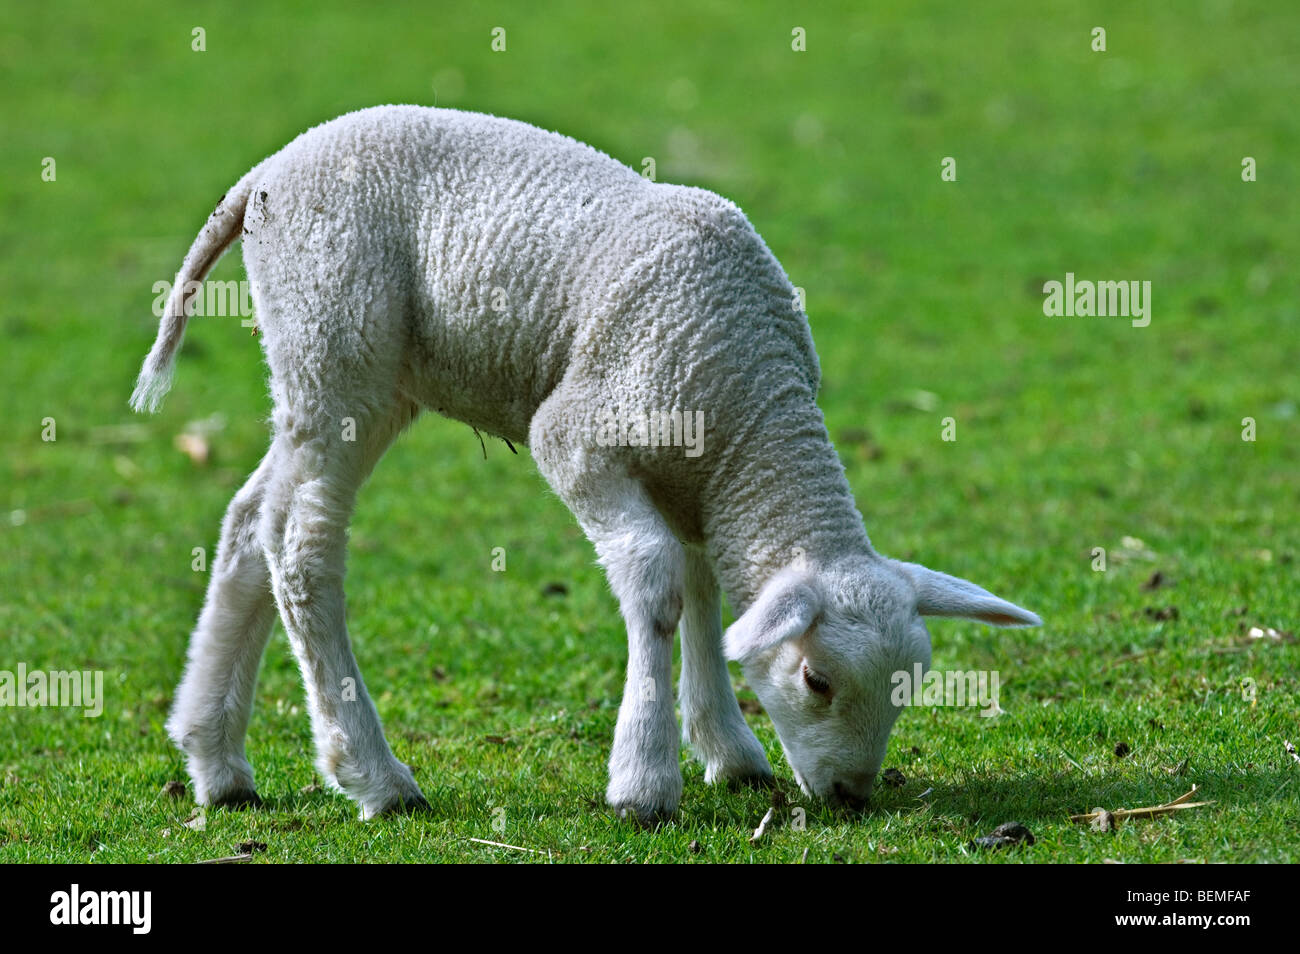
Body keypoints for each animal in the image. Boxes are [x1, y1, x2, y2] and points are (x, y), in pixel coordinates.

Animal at [132, 105, 1040, 823]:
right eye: (816, 680)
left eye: (909, 687)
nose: (854, 797)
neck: (749, 407)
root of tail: (263, 178)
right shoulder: (576, 437)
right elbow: (657, 579)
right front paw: (644, 783)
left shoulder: (693, 475)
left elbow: (706, 588)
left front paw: (728, 750)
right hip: (335, 345)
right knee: (299, 548)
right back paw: (376, 779)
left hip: (355, 384)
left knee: (251, 520)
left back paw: (216, 762)